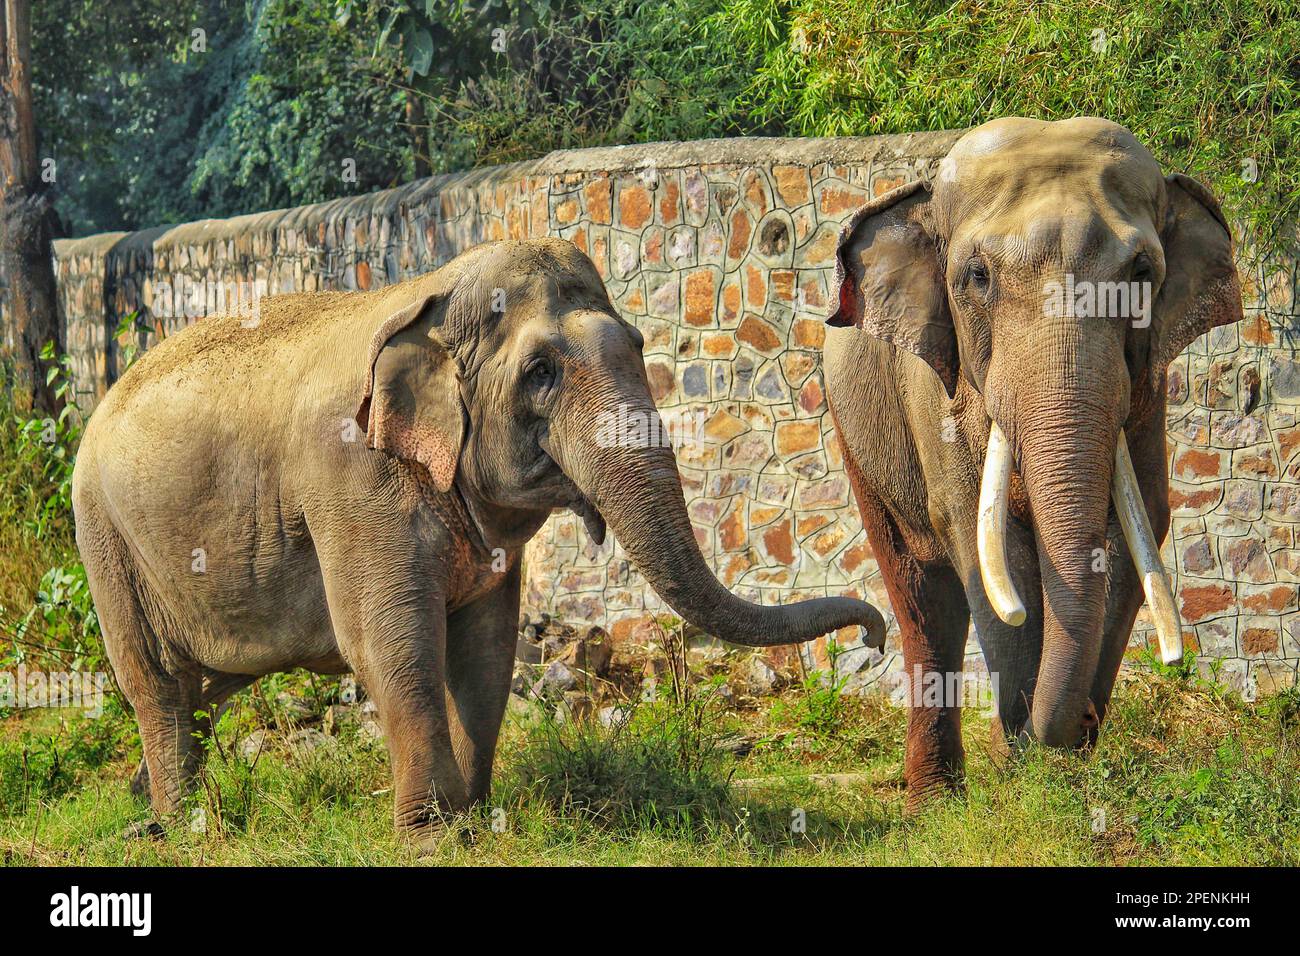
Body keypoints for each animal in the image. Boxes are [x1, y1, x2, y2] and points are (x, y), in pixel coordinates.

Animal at [72, 237, 884, 840]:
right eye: (540, 372)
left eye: (636, 344)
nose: (874, 637)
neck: (432, 295)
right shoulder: (351, 479)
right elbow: (391, 643)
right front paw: (428, 836)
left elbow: (488, 647)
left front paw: (472, 820)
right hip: (104, 540)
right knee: (154, 681)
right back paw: (183, 827)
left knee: (202, 689)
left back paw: (145, 809)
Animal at [824, 117, 1242, 808]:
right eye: (976, 277)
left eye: (1142, 272)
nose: (1084, 725)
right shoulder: (938, 394)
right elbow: (988, 551)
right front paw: (1020, 769)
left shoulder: (1146, 392)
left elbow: (1133, 537)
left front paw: (1060, 760)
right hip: (858, 434)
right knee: (925, 598)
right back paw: (934, 800)